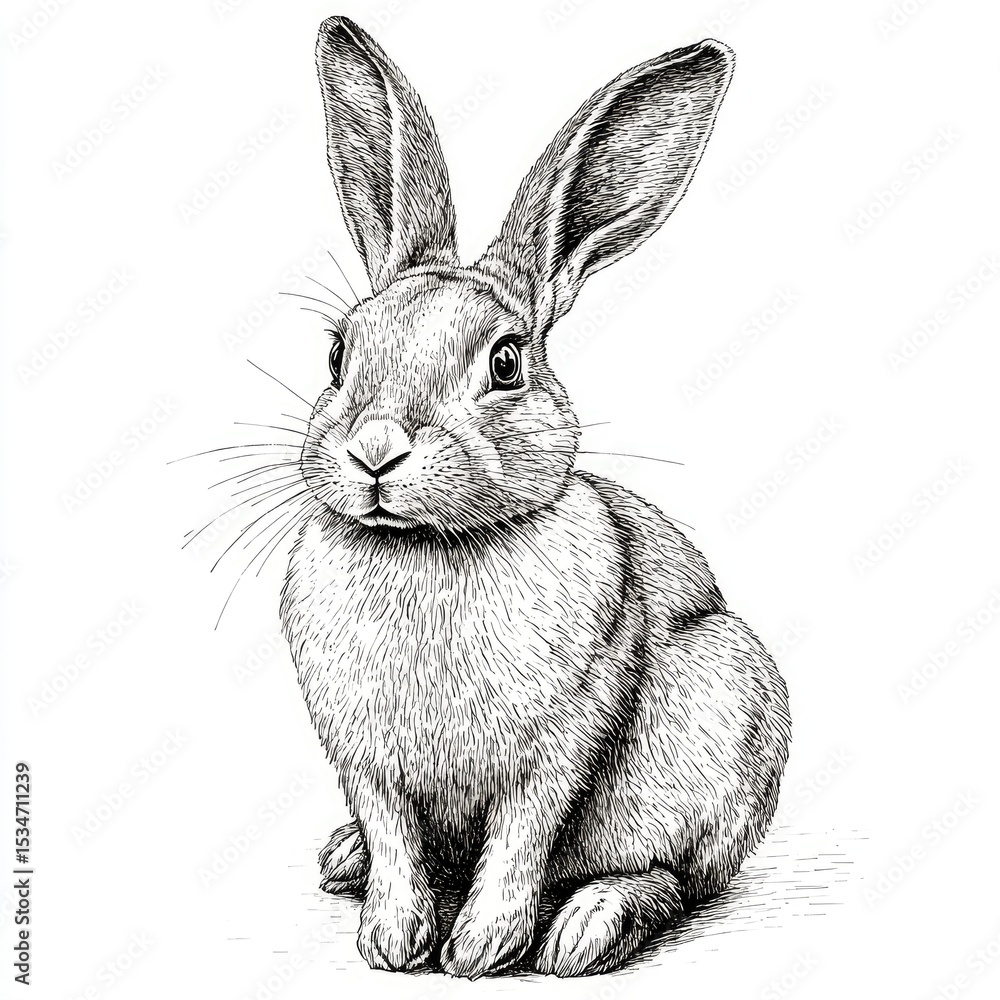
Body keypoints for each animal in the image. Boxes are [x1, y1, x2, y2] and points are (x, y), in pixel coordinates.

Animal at [280, 15, 791, 979]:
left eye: (507, 362)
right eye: (337, 353)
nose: (375, 450)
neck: (427, 547)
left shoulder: (554, 754)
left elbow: (520, 840)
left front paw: (479, 948)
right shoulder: (366, 760)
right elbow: (396, 837)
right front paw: (393, 939)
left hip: (722, 737)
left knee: (670, 879)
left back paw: (585, 931)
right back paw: (343, 858)